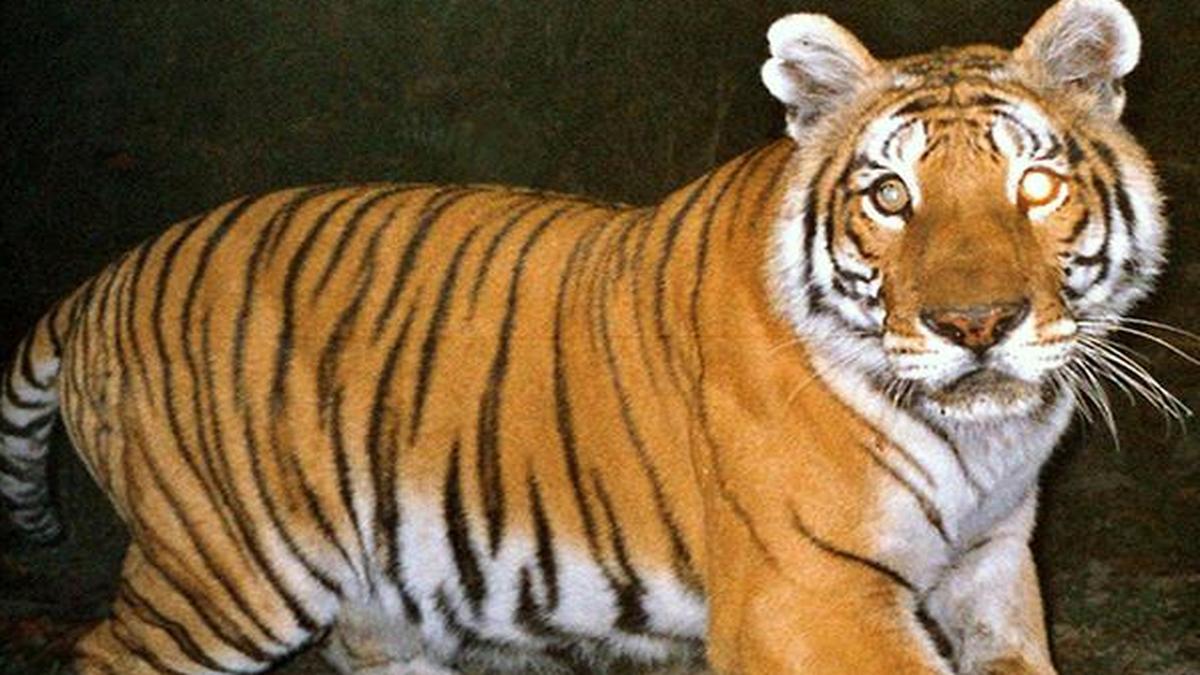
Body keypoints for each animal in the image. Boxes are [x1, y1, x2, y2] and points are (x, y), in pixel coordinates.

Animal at [0, 0, 1170, 673]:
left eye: (1035, 186)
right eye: (890, 196)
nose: (975, 325)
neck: (985, 441)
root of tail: (98, 282)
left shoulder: (990, 569)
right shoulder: (810, 596)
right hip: (224, 573)